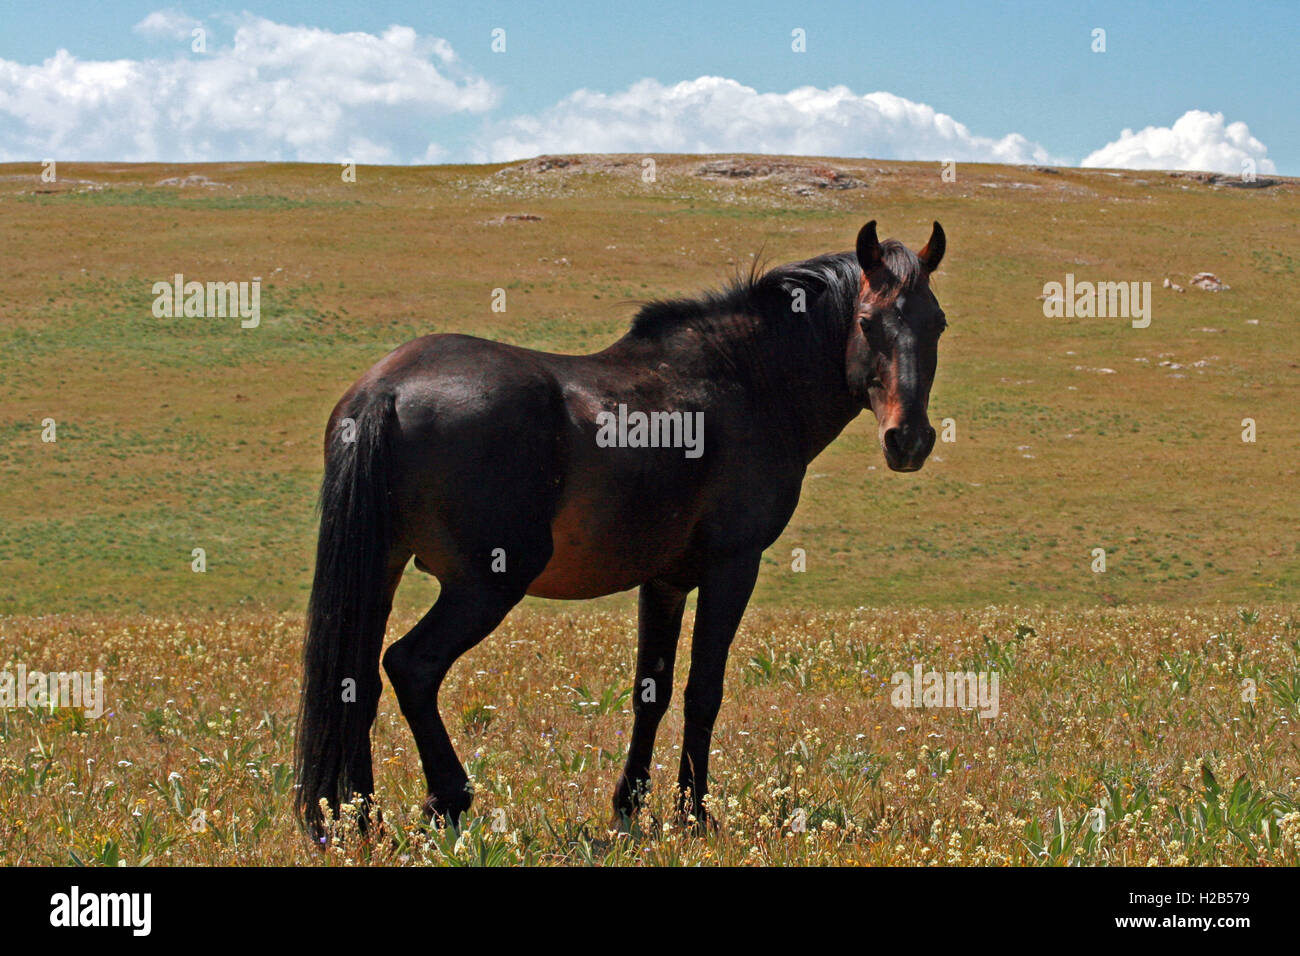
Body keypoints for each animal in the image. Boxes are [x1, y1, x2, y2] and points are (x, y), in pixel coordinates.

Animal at [294, 219, 948, 839]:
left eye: (937, 324)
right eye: (866, 322)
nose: (909, 440)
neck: (744, 382)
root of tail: (387, 389)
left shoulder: (664, 581)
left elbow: (650, 692)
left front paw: (630, 807)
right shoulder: (732, 565)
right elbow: (702, 691)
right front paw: (693, 814)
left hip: (382, 568)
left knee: (356, 681)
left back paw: (359, 818)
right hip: (486, 585)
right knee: (411, 667)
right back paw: (445, 799)